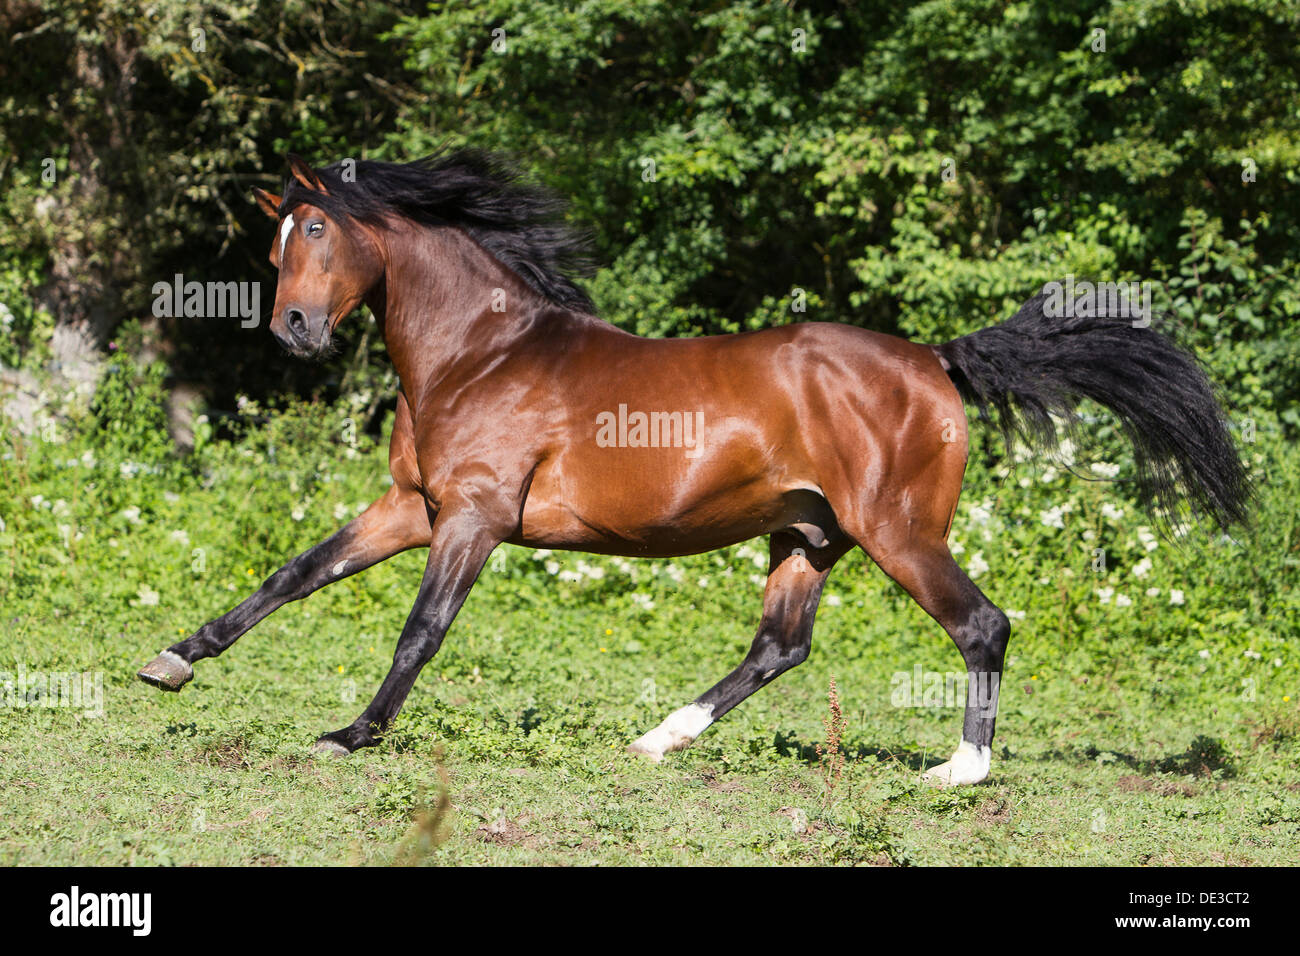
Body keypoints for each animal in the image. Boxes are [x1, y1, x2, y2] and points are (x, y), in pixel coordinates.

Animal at [139, 151, 1248, 786]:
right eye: (277, 237)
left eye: (319, 229)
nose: (293, 330)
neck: (479, 353)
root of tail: (934, 361)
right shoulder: (414, 504)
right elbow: (295, 573)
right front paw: (173, 661)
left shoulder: (474, 518)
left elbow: (422, 629)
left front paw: (351, 733)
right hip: (808, 536)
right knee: (779, 647)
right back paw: (658, 739)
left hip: (898, 531)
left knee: (980, 624)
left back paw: (959, 769)